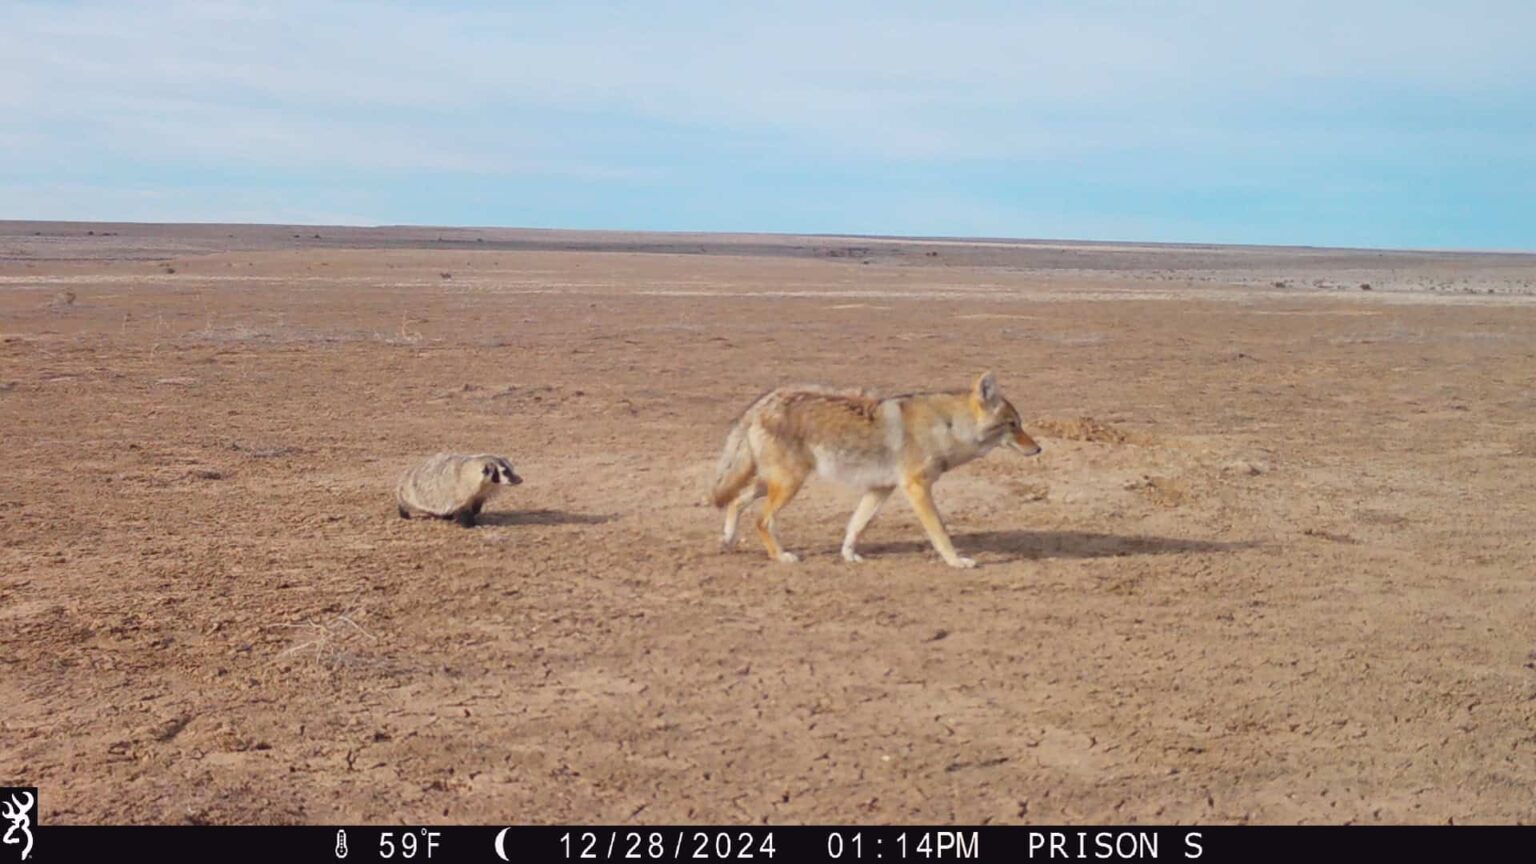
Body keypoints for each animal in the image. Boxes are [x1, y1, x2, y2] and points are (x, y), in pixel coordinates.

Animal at [711, 372, 1041, 567]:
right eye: (1013, 425)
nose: (1038, 449)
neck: (948, 426)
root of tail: (761, 403)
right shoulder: (916, 489)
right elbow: (940, 531)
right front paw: (957, 561)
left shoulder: (880, 489)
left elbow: (856, 525)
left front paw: (848, 555)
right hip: (789, 484)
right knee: (761, 519)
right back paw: (780, 555)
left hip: (773, 482)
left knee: (736, 501)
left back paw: (728, 540)